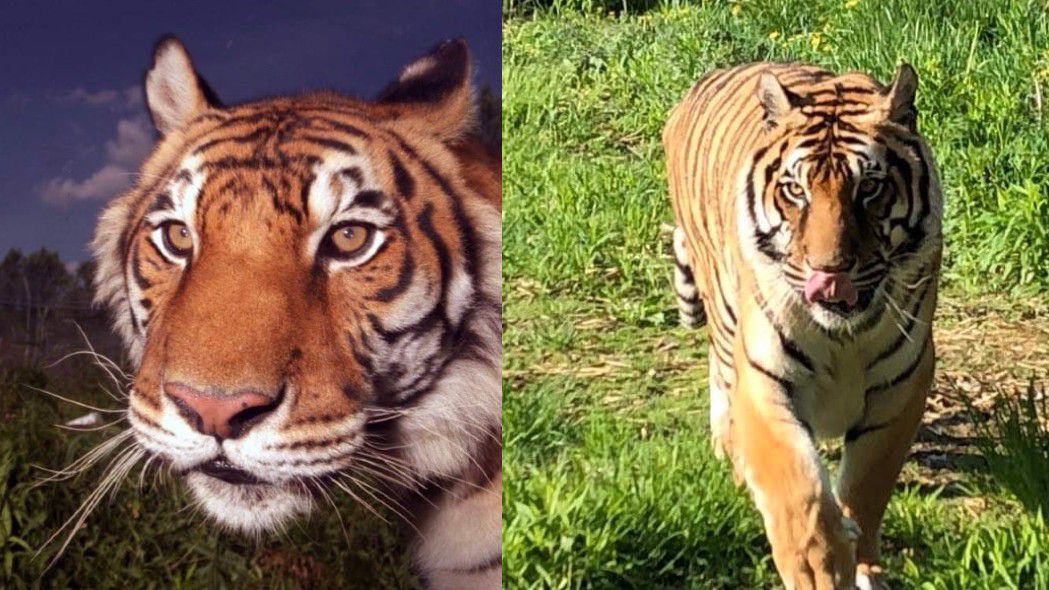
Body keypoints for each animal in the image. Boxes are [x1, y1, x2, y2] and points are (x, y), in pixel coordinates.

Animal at [663, 62, 941, 590]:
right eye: (796, 190)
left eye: (869, 188)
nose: (829, 271)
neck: (844, 336)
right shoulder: (764, 378)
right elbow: (799, 490)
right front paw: (818, 569)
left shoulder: (902, 385)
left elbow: (867, 486)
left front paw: (864, 564)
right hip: (724, 315)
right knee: (719, 371)